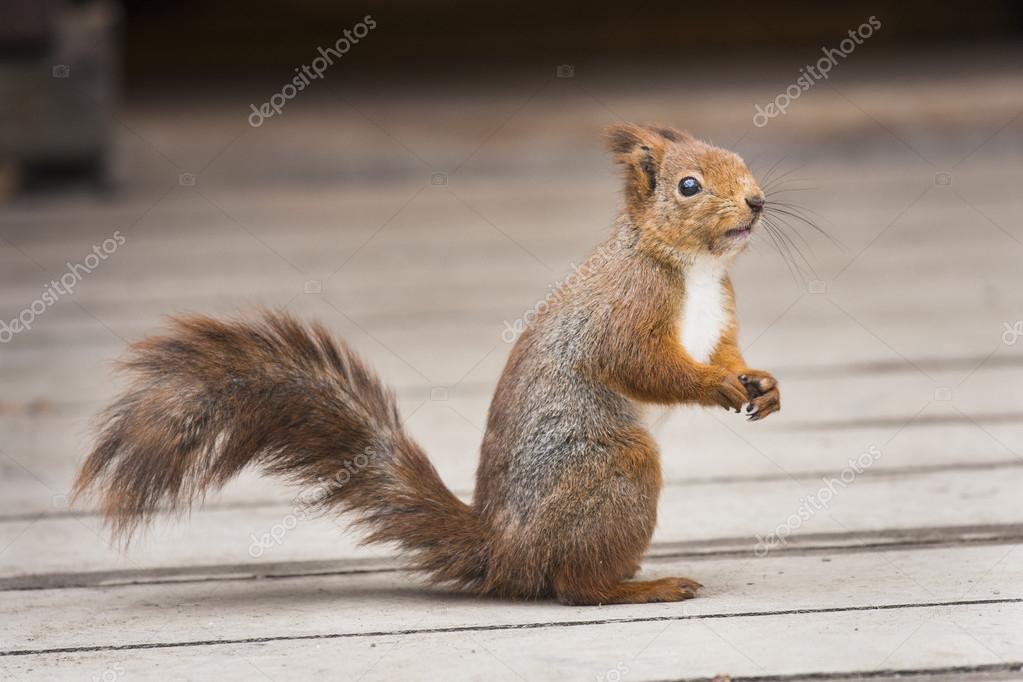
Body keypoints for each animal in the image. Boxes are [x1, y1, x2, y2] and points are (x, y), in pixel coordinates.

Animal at [73, 124, 779, 605]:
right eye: (689, 186)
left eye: (744, 164)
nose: (756, 201)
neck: (696, 268)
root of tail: (505, 551)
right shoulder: (624, 313)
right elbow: (645, 366)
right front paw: (715, 385)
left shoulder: (721, 317)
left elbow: (727, 352)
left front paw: (763, 385)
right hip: (614, 469)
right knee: (573, 585)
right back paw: (640, 585)